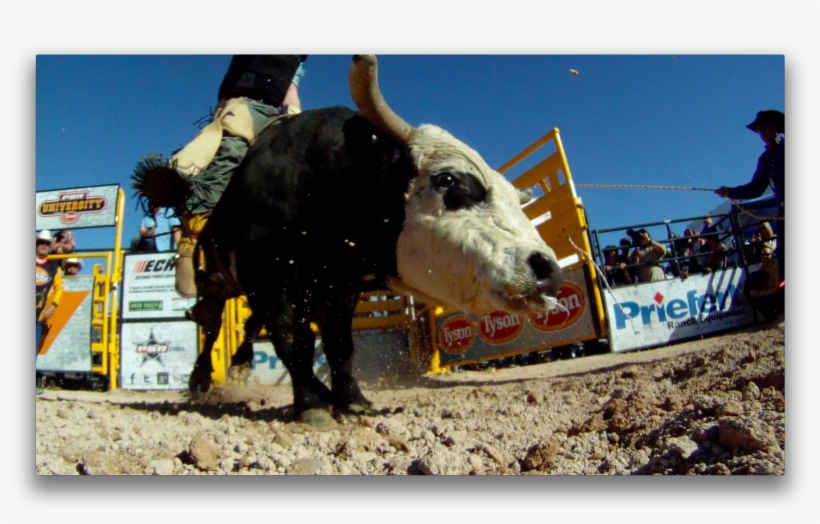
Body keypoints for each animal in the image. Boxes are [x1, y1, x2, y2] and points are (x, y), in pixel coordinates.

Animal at [185, 55, 563, 426]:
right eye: (446, 179)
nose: (547, 269)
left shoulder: (340, 285)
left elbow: (338, 344)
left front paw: (351, 400)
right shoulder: (267, 275)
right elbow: (292, 339)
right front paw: (313, 404)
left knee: (254, 323)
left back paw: (244, 366)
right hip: (217, 280)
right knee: (212, 321)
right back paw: (201, 379)